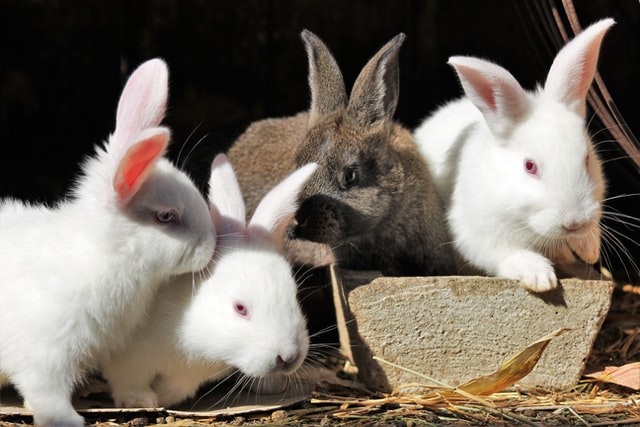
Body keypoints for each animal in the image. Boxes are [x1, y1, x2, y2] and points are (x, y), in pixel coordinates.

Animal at [0, 58, 217, 426]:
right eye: (166, 217)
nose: (212, 245)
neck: (104, 255)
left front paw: (142, 398)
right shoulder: (46, 352)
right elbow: (46, 391)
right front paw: (67, 420)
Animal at [100, 153, 315, 409]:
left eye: (295, 296)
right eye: (240, 308)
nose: (289, 356)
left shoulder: (185, 378)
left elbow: (174, 389)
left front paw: (162, 397)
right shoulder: (130, 359)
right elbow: (129, 382)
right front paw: (142, 401)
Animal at [413, 18, 615, 292]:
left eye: (586, 159)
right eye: (529, 166)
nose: (574, 223)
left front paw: (589, 249)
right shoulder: (478, 232)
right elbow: (509, 254)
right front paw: (541, 277)